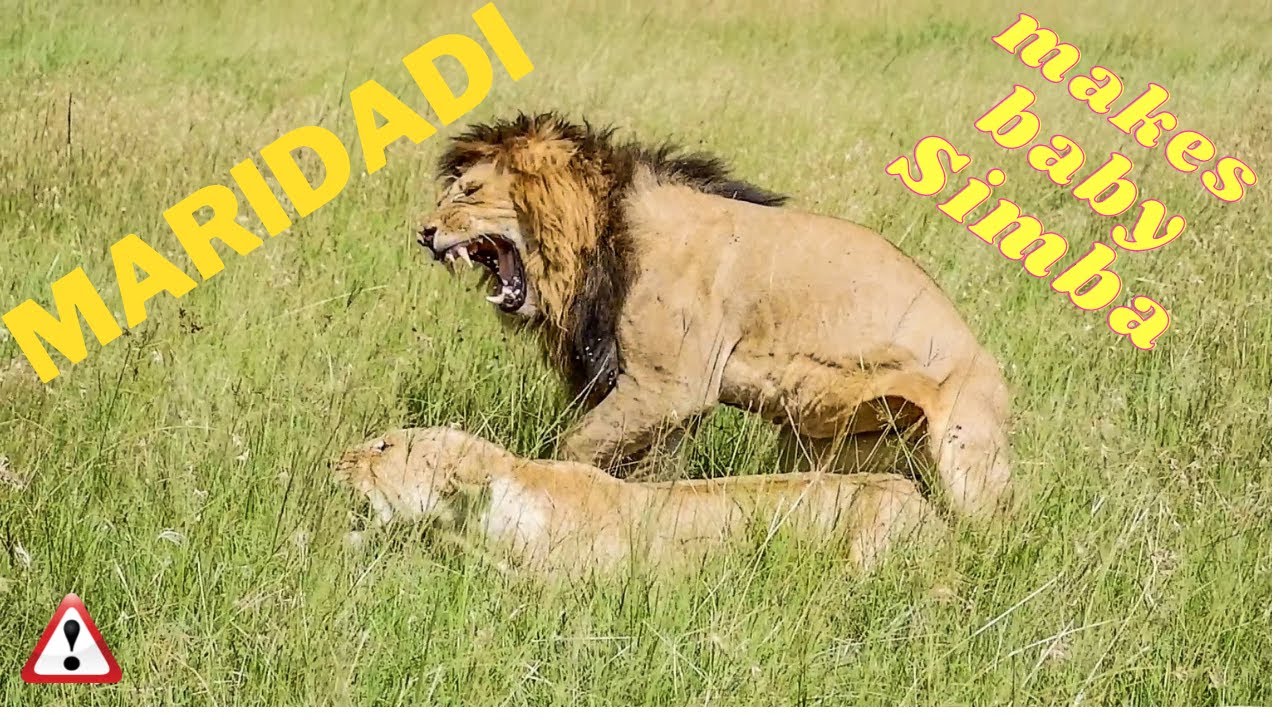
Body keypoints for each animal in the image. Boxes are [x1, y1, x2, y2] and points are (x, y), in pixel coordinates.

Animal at [417, 112, 1013, 517]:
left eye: (469, 192)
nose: (424, 232)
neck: (606, 235)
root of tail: (992, 365)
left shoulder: (672, 387)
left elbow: (577, 445)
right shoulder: (668, 405)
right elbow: (654, 471)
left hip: (966, 456)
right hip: (830, 446)